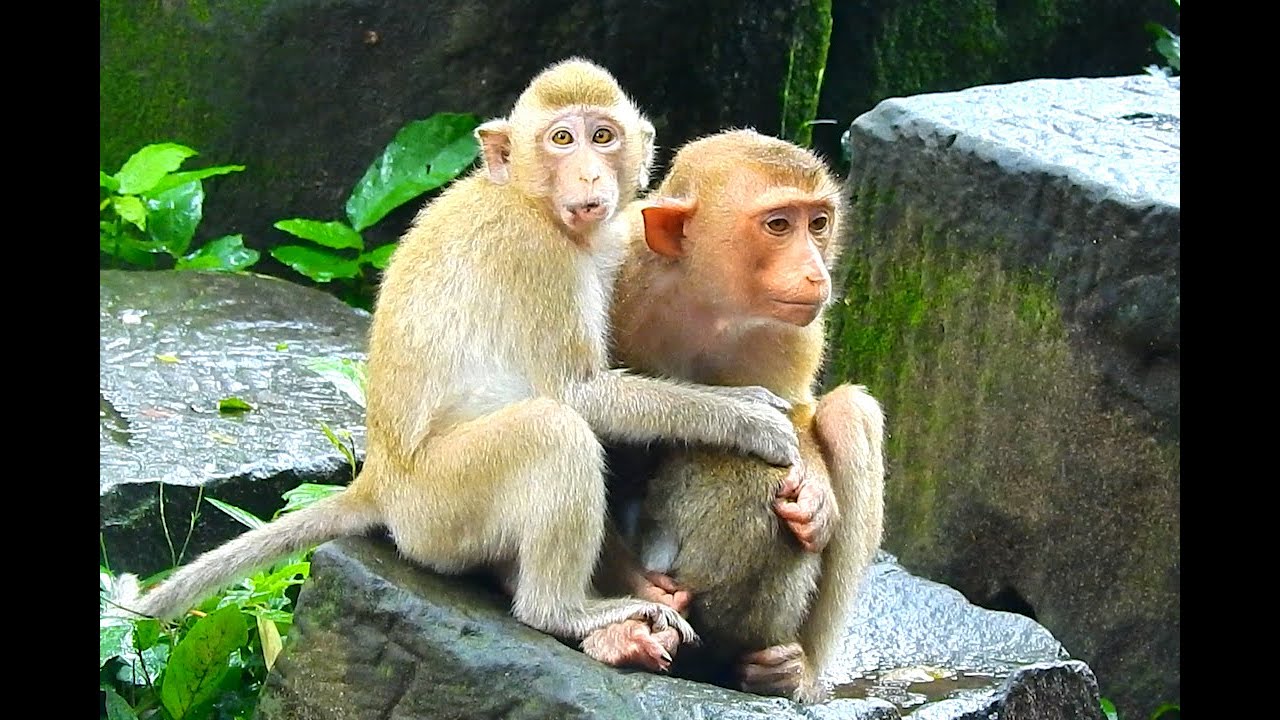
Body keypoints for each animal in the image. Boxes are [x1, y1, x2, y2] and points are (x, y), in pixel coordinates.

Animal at [114, 61, 804, 674]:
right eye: (562, 139)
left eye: (603, 137)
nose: (588, 174)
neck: (524, 195)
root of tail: (379, 481)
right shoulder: (534, 254)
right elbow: (579, 394)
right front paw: (747, 416)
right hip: (441, 508)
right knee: (551, 432)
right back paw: (564, 612)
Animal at [597, 129, 886, 700]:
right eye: (778, 225)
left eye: (818, 223)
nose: (815, 272)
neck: (706, 303)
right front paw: (643, 594)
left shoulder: (794, 331)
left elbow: (799, 412)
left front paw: (817, 501)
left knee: (851, 412)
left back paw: (796, 674)